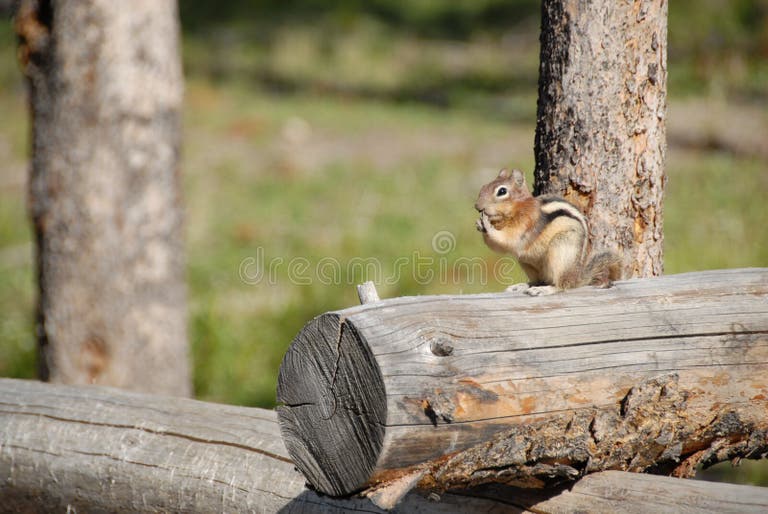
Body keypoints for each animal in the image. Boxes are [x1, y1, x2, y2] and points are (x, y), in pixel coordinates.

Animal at [475, 168, 622, 296]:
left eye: (502, 191)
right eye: (483, 186)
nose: (477, 207)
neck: (518, 207)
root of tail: (576, 277)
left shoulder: (526, 223)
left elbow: (509, 239)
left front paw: (486, 224)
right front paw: (480, 224)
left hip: (560, 249)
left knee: (562, 285)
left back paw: (545, 290)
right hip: (527, 262)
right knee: (539, 280)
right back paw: (522, 286)